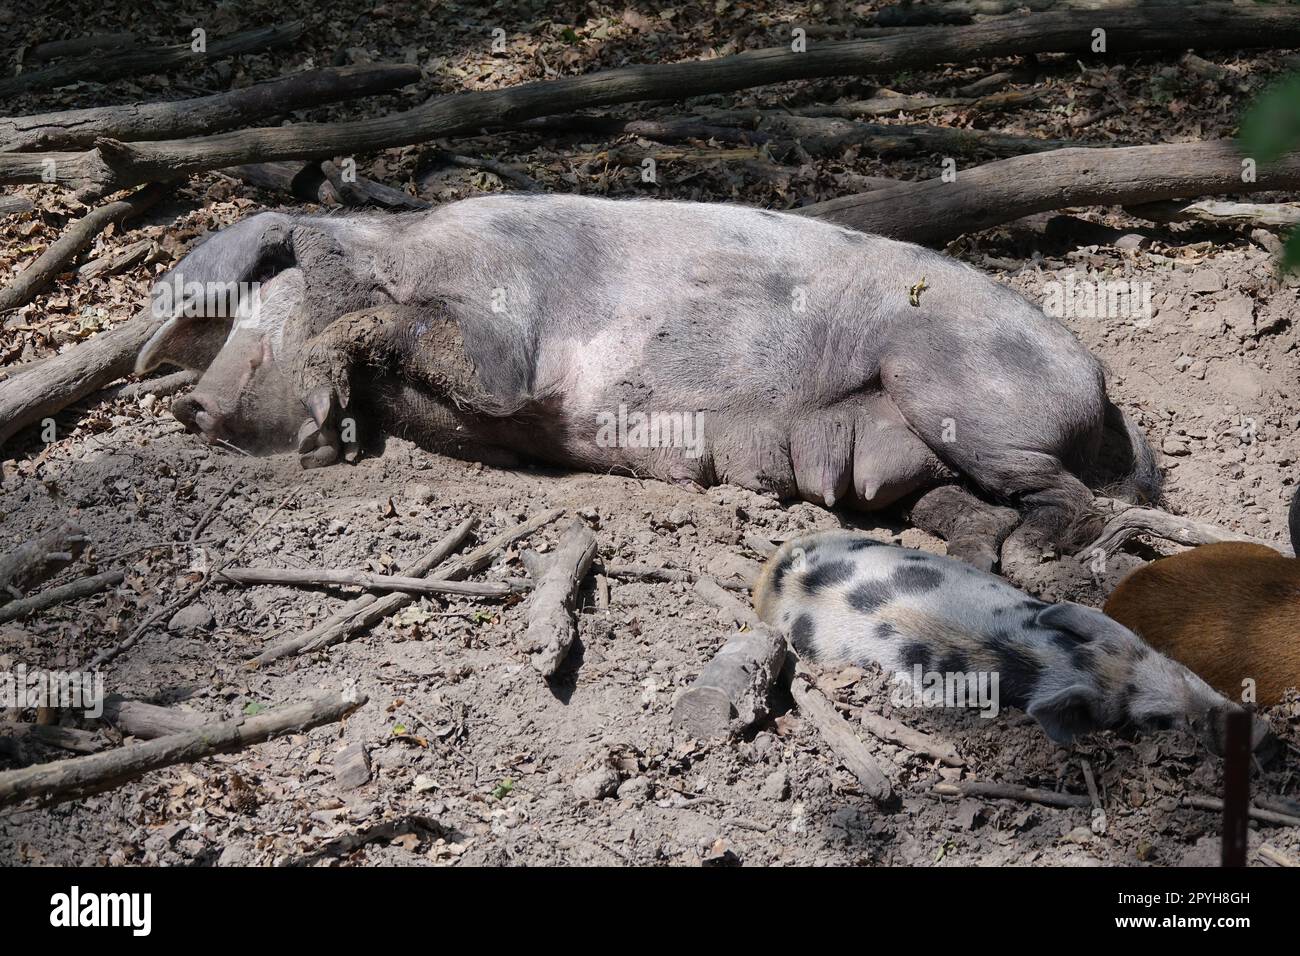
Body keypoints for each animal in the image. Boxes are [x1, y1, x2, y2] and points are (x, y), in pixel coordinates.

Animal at [135, 194, 1160, 560]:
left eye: (260, 317)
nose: (190, 407)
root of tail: (1098, 374)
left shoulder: (502, 332)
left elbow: (421, 334)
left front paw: (318, 422)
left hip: (957, 384)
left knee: (1073, 498)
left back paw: (1034, 555)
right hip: (915, 451)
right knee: (942, 502)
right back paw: (980, 552)